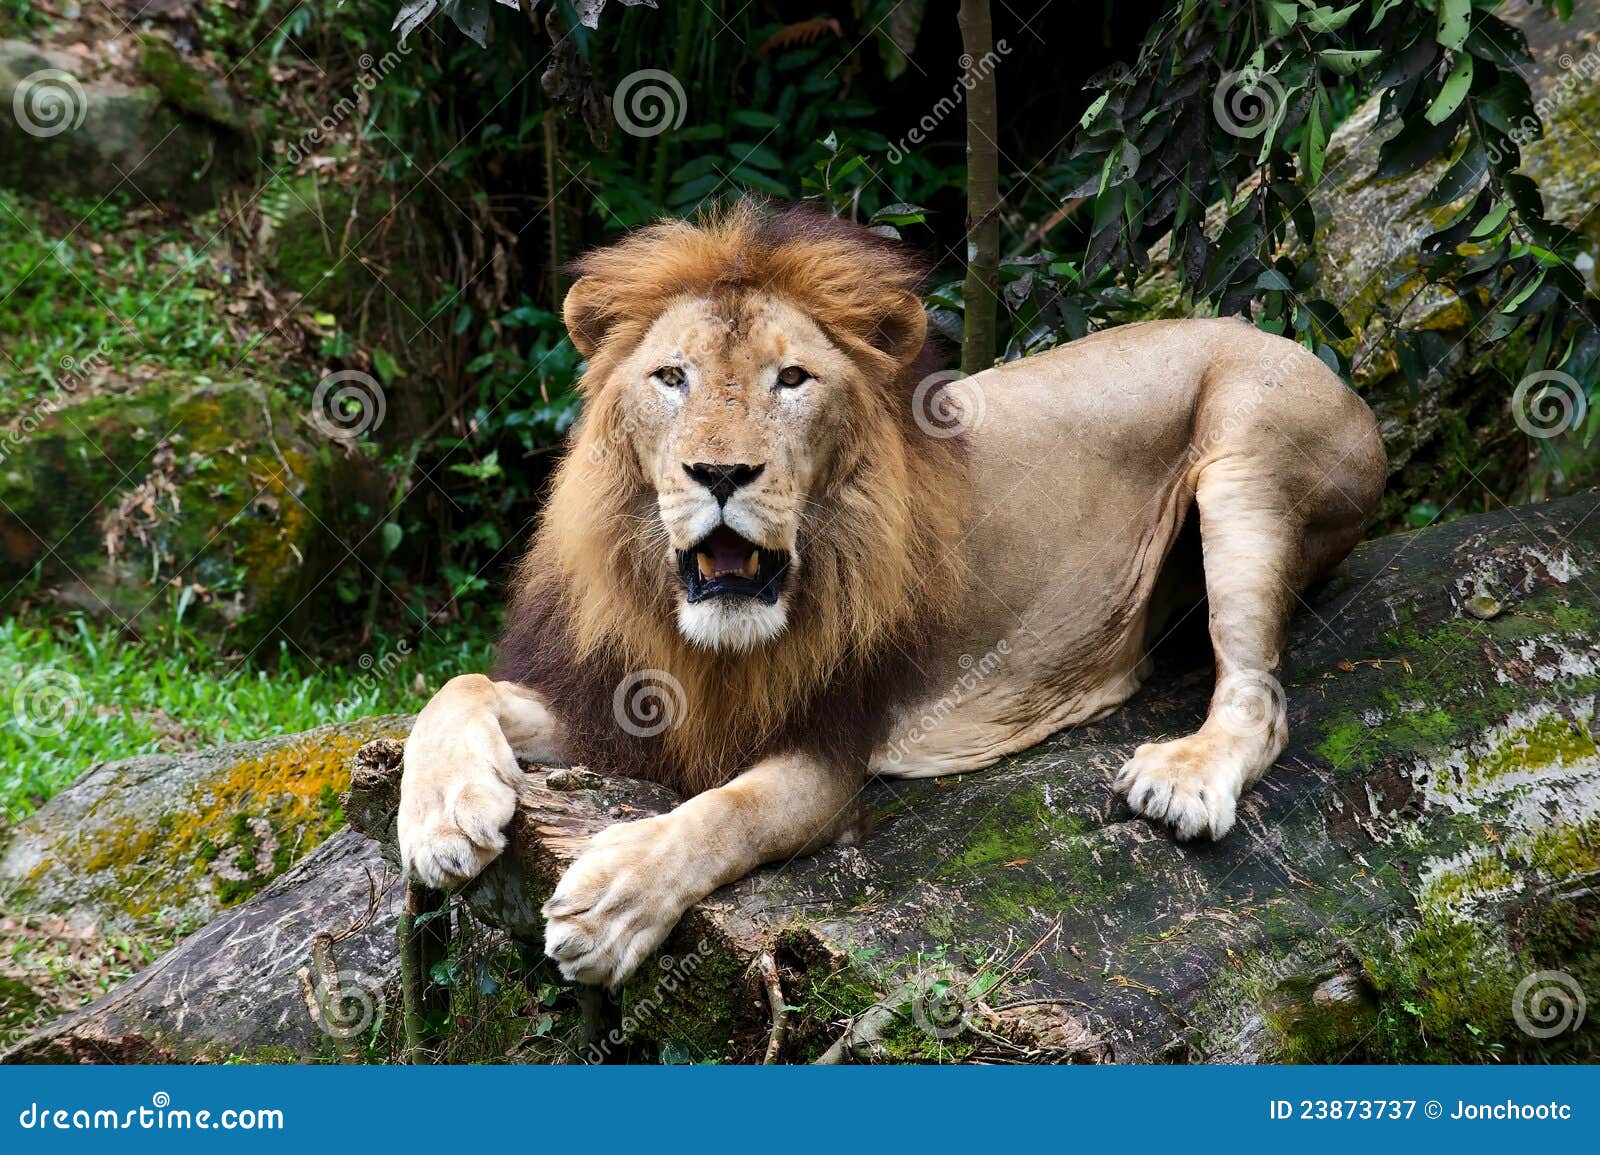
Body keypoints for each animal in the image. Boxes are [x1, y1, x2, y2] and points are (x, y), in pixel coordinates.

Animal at [398, 202, 1386, 988]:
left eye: (792, 379)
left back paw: (1184, 775)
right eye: (671, 377)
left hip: (1251, 447)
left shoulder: (828, 743)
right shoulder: (619, 701)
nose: (720, 472)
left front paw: (612, 903)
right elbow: (454, 690)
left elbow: (724, 814)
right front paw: (444, 817)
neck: (709, 637)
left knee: (1258, 695)